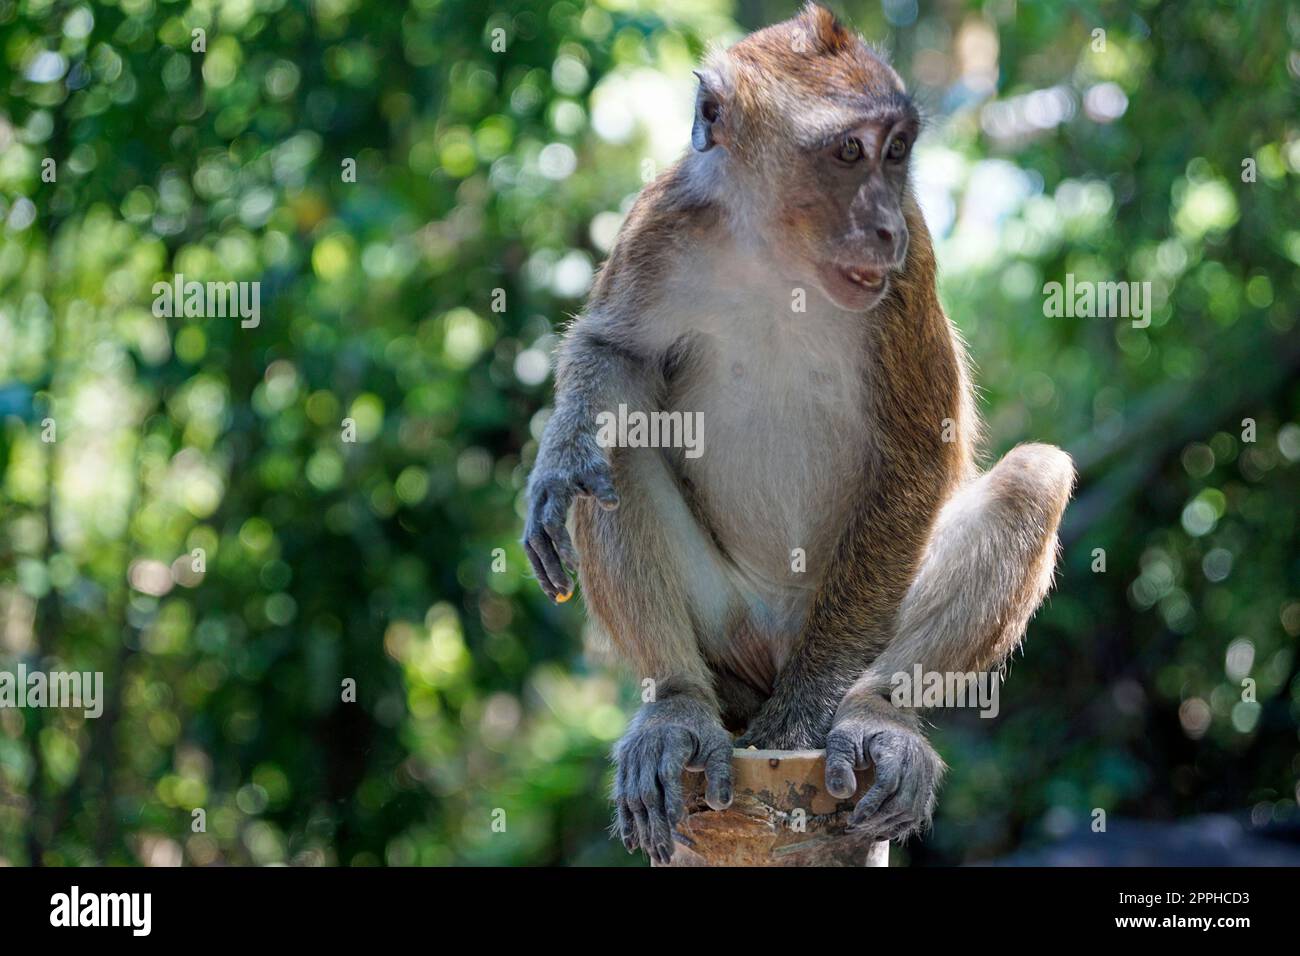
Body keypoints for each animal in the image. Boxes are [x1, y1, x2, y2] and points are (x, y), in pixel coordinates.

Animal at [522, 3, 1075, 865]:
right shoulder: (661, 220)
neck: (776, 252)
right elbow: (616, 356)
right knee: (611, 464)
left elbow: (919, 452)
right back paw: (677, 707)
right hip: (730, 629)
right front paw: (558, 460)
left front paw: (806, 715)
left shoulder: (909, 268)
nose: (880, 227)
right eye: (849, 152)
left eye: (896, 151)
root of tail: (775, 645)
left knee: (1034, 477)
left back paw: (877, 714)